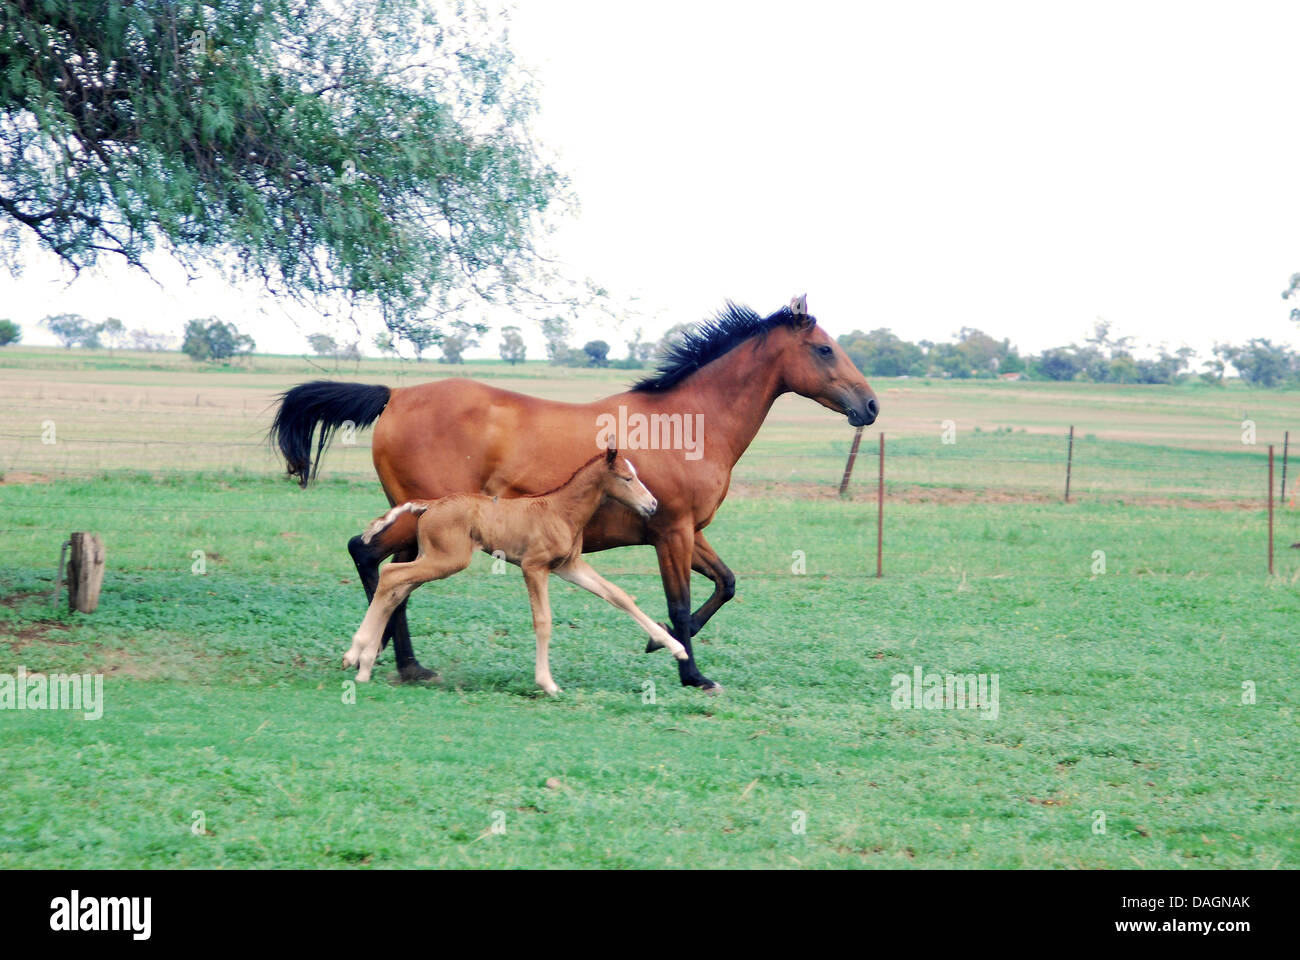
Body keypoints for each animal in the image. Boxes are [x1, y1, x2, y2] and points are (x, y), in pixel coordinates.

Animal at [342, 445, 688, 692]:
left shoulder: (568, 566)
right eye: (627, 478)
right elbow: (543, 621)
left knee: (396, 590)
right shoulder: (534, 567)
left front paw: (675, 648)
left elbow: (618, 596)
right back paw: (356, 656)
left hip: (433, 558)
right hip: (446, 560)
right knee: (391, 577)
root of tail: (429, 505)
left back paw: (364, 664)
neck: (561, 511)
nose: (653, 505)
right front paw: (547, 683)